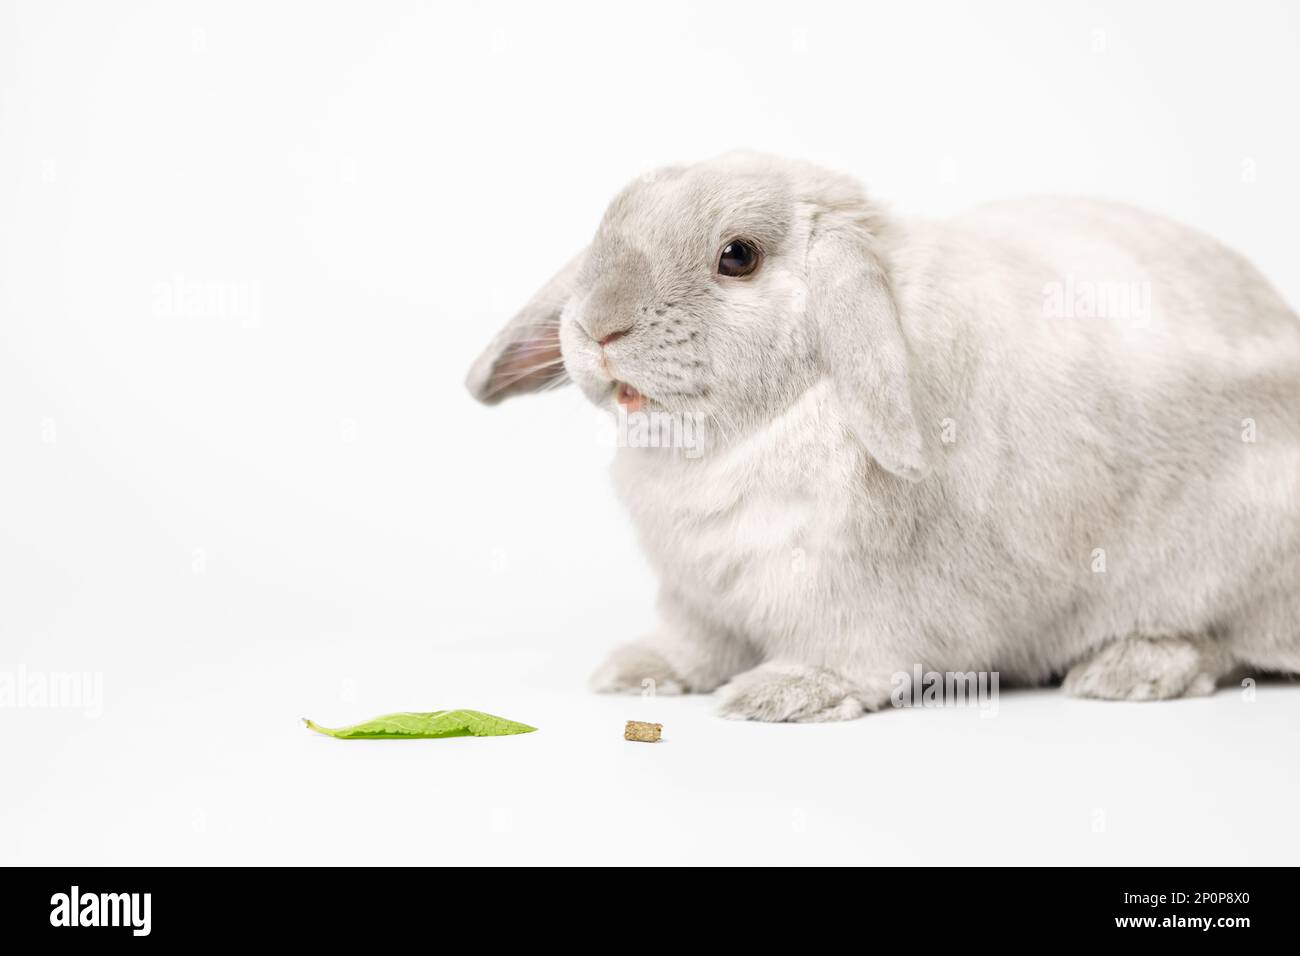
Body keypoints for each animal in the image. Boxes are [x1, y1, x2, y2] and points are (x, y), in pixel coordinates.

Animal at [466, 151, 1300, 721]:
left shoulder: (850, 596)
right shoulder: (694, 598)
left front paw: (782, 694)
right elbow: (690, 644)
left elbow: (847, 655)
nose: (596, 326)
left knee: (1218, 644)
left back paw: (1129, 671)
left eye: (738, 256)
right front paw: (638, 672)